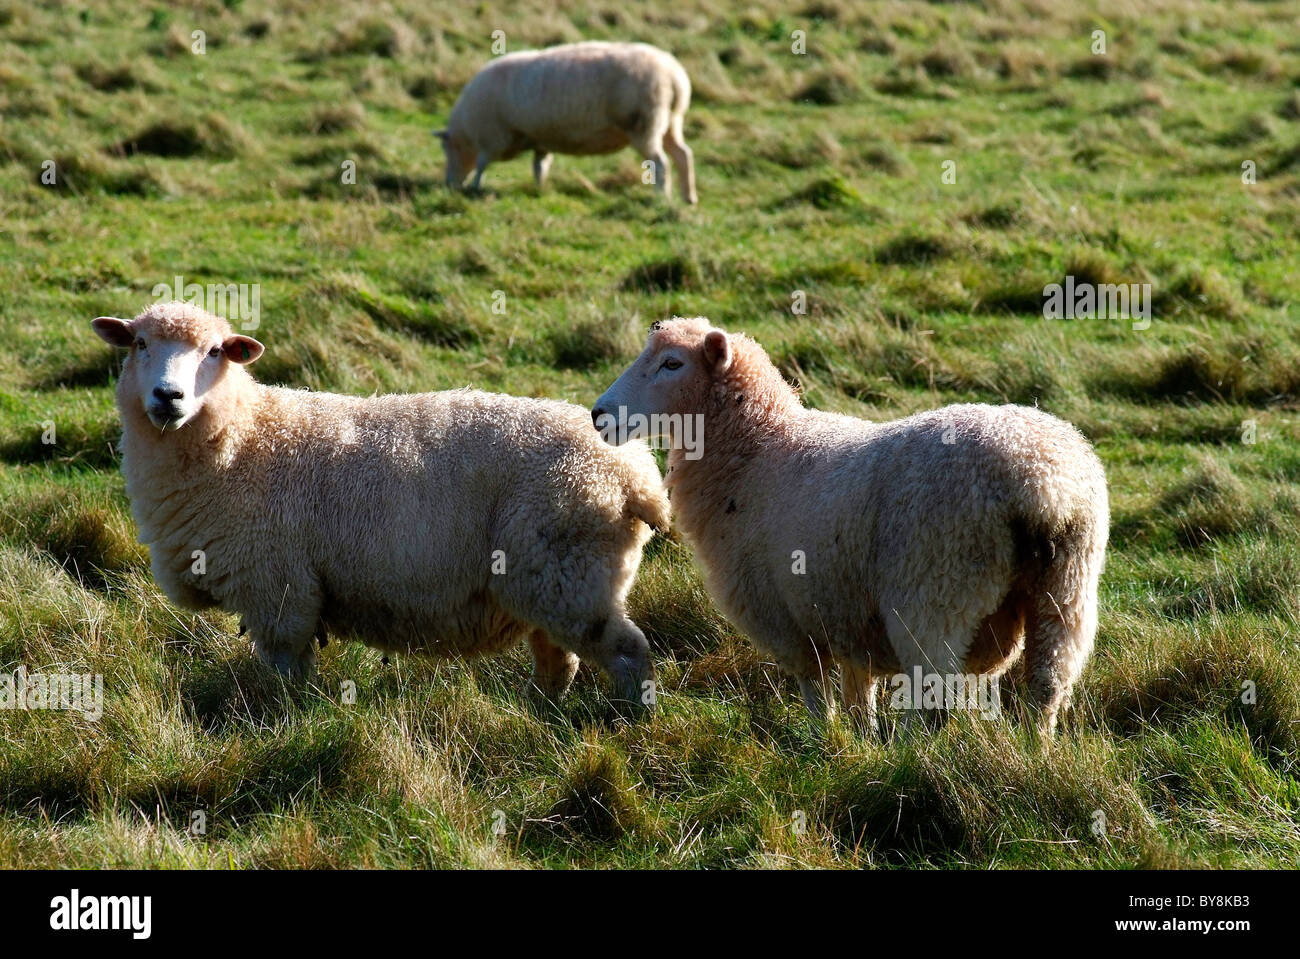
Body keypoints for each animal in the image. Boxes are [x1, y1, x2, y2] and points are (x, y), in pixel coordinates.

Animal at [91, 301, 669, 711]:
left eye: (214, 351)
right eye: (139, 343)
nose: (168, 397)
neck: (245, 437)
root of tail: (635, 474)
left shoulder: (279, 588)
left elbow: (284, 672)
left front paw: (282, 722)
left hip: (567, 572)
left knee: (625, 650)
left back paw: (629, 718)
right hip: (553, 582)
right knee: (558, 659)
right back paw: (539, 713)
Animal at [435, 41, 697, 203]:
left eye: (447, 151)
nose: (449, 185)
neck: (466, 133)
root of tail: (674, 76)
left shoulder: (492, 137)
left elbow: (481, 165)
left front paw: (475, 187)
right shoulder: (539, 139)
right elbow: (539, 166)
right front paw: (539, 188)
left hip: (644, 124)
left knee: (661, 163)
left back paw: (662, 197)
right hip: (670, 122)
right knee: (683, 154)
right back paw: (689, 197)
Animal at [592, 318, 1109, 737]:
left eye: (671, 364)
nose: (599, 414)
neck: (758, 450)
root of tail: (1043, 484)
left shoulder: (785, 615)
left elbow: (815, 690)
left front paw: (824, 743)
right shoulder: (846, 614)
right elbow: (859, 692)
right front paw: (861, 741)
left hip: (936, 590)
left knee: (933, 698)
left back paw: (912, 758)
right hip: (1066, 591)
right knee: (1046, 687)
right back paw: (1036, 754)